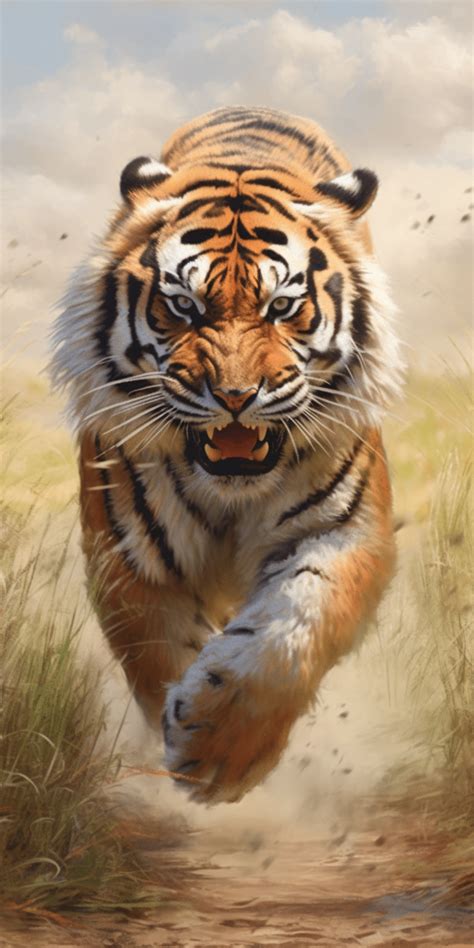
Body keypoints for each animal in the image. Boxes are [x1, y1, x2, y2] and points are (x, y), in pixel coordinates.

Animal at [51, 106, 403, 804]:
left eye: (283, 306)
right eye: (182, 305)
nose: (236, 397)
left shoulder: (347, 530)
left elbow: (293, 629)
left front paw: (221, 749)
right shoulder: (128, 552)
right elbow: (158, 650)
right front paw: (187, 744)